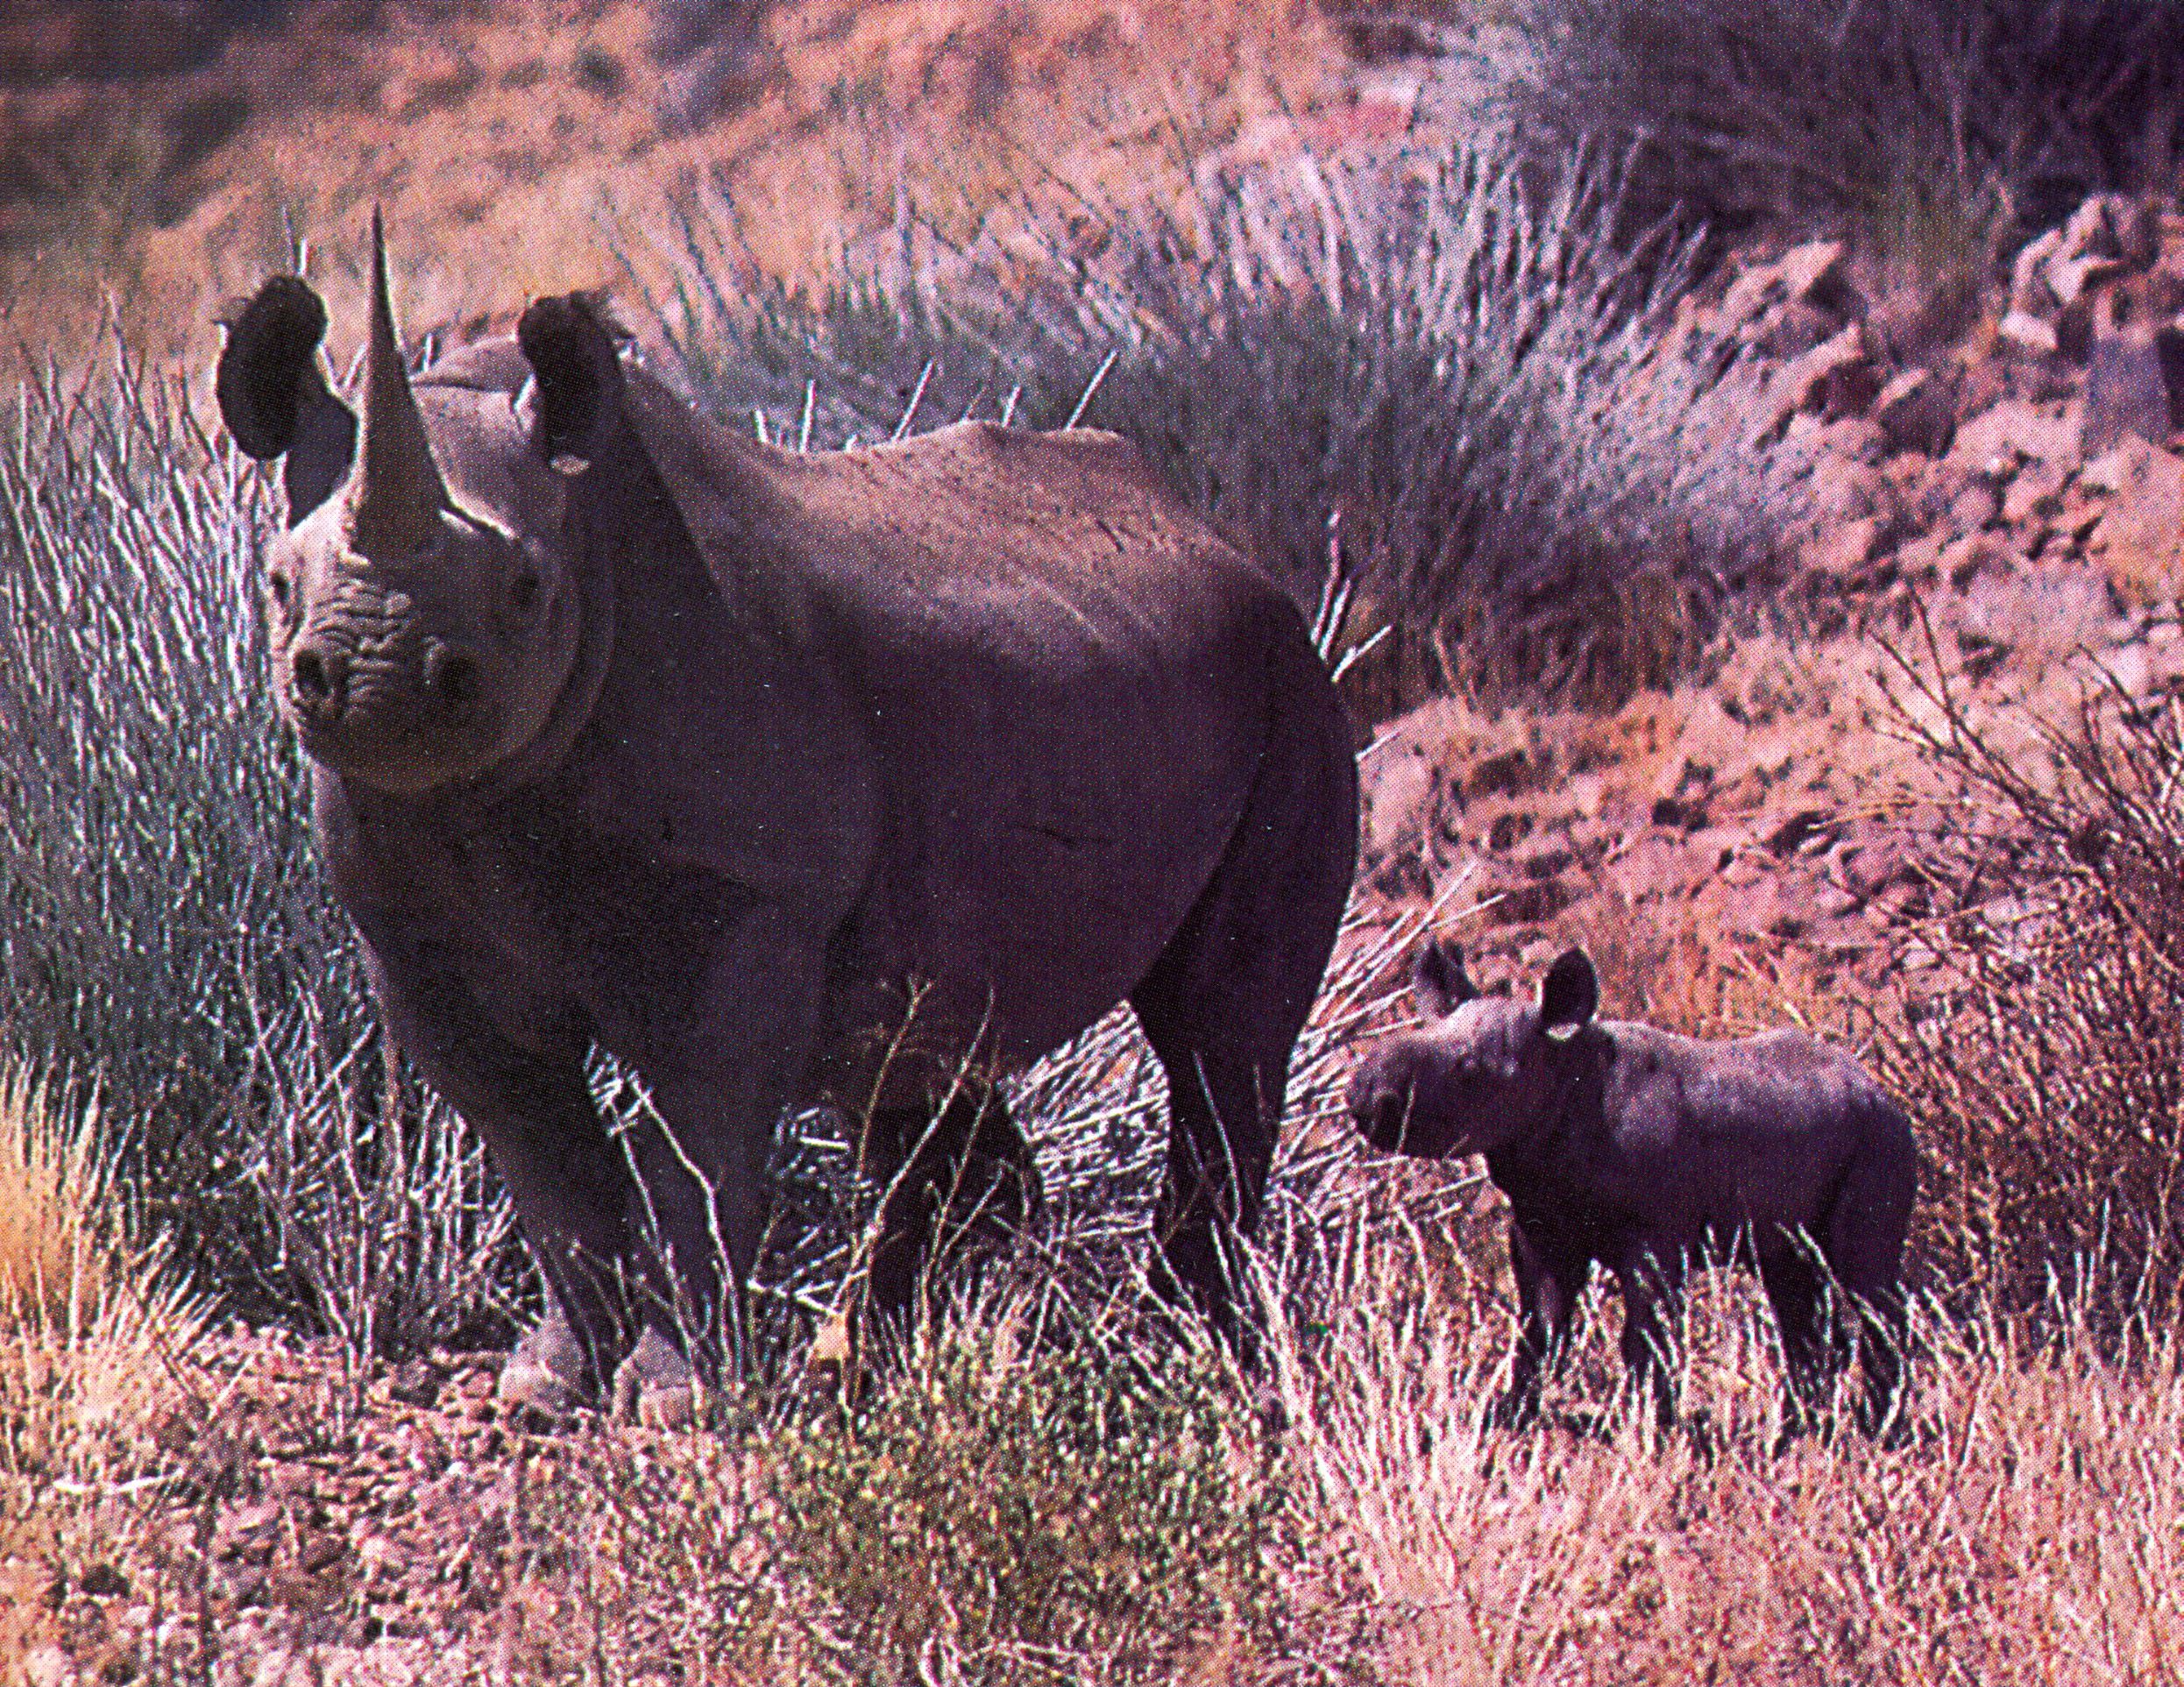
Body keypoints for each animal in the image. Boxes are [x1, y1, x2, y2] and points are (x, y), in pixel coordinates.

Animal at [213, 219, 1359, 1420]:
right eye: (278, 582)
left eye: (526, 586)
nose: (376, 680)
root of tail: (1214, 533)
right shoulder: (413, 920)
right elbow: (532, 1138)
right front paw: (547, 1384)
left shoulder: (745, 898)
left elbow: (695, 1137)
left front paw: (674, 1399)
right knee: (910, 1055)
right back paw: (867, 1359)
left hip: (1286, 684)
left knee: (1219, 1032)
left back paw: (1191, 1354)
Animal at [1347, 940, 1916, 1439]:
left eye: (1469, 1072)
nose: (1363, 1094)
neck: (1563, 1074)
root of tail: (1879, 1089)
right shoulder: (1541, 1222)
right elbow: (1541, 1328)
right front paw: (1508, 1421)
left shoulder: (1655, 1237)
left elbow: (1645, 1335)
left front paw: (1647, 1432)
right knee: (1792, 1282)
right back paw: (1803, 1430)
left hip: (1880, 1139)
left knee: (1867, 1280)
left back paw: (1881, 1431)